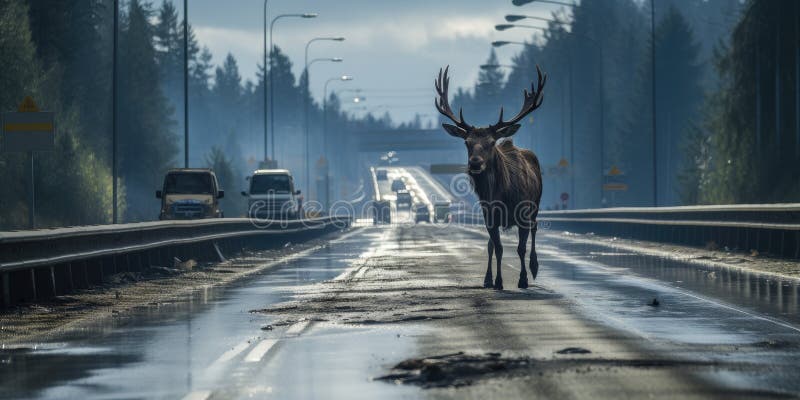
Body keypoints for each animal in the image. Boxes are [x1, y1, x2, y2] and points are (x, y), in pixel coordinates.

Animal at [435, 65, 546, 290]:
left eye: (491, 142)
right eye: (467, 142)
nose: (475, 163)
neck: (501, 196)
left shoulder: (523, 212)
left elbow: (520, 248)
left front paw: (522, 279)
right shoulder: (489, 216)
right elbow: (498, 247)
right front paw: (497, 281)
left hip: (535, 204)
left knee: (535, 227)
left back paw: (534, 267)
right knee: (490, 245)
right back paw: (487, 279)